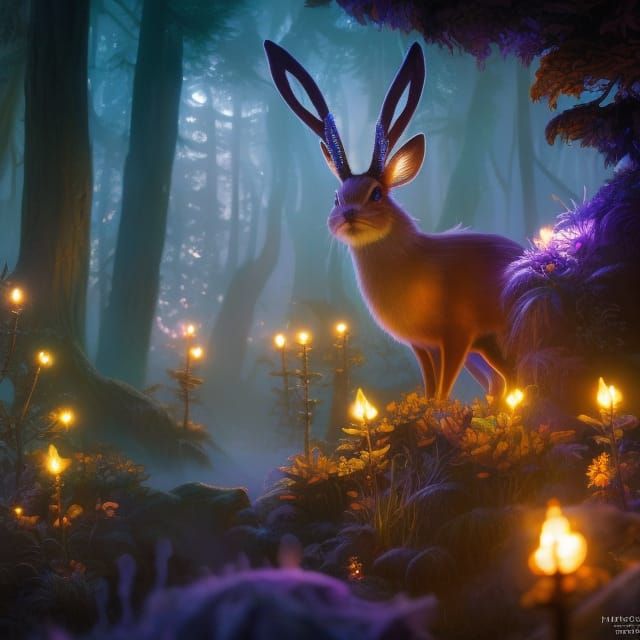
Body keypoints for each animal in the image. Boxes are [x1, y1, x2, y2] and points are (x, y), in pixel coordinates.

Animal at [264, 40, 522, 400]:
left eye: (376, 194)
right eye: (336, 198)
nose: (348, 214)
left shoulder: (457, 334)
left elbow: (443, 390)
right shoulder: (422, 345)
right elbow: (431, 388)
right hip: (486, 350)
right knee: (502, 383)